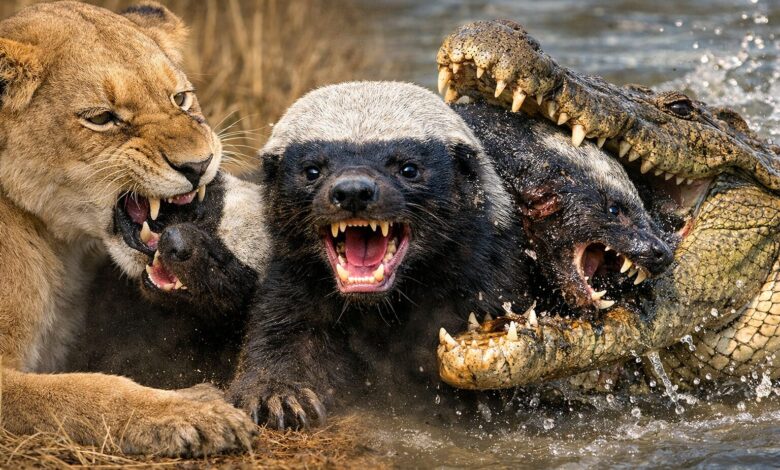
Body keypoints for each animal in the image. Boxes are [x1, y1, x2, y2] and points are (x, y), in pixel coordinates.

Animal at [0, 1, 255, 456]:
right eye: (102, 118)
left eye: (181, 98)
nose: (198, 164)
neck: (58, 250)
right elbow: (80, 390)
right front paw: (190, 411)